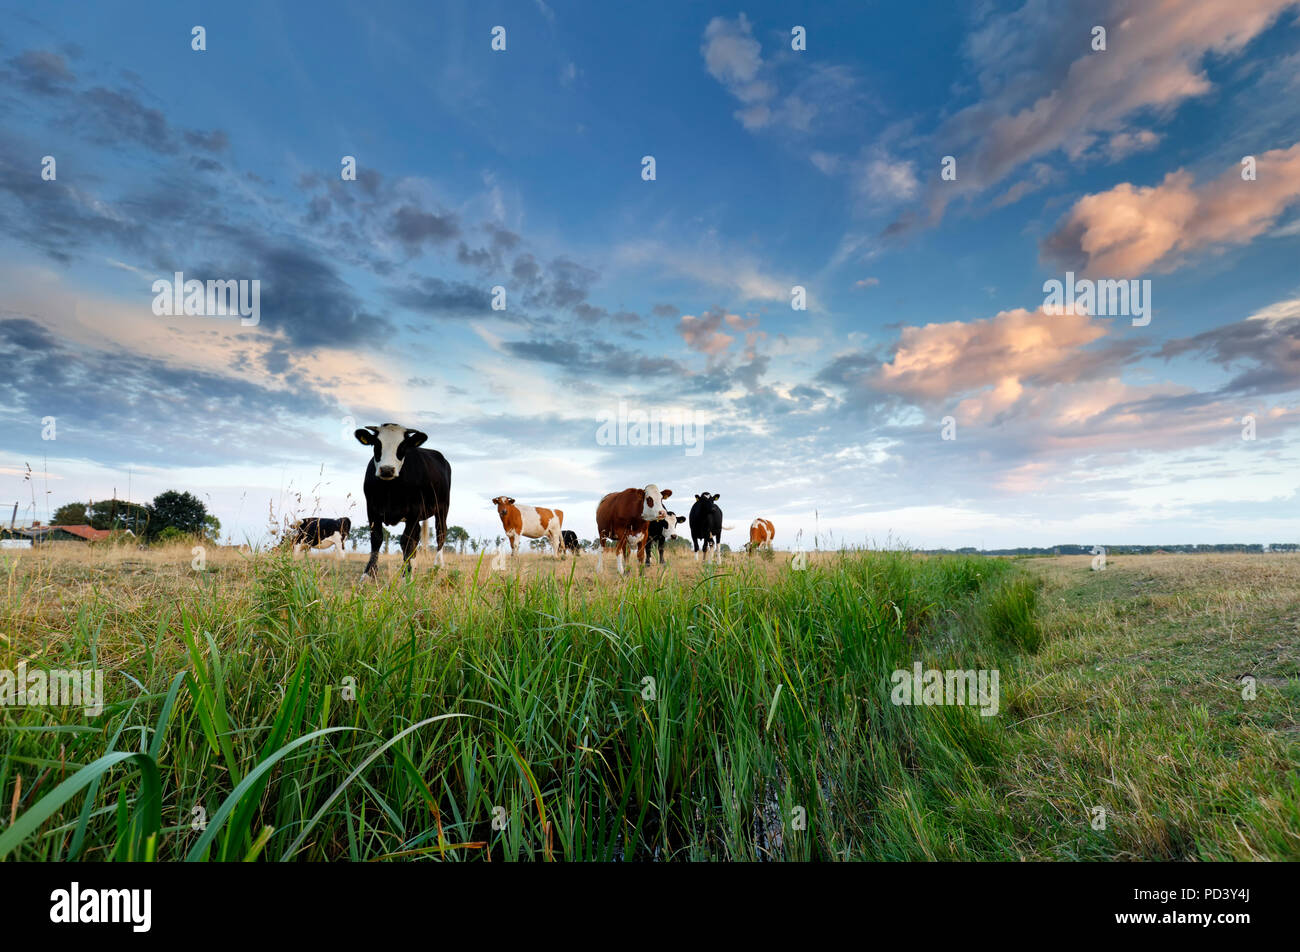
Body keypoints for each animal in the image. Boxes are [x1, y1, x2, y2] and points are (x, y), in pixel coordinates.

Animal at [354, 424, 451, 581]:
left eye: (403, 446)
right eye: (376, 444)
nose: (387, 469)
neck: (390, 490)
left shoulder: (415, 510)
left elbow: (406, 541)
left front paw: (406, 575)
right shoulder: (372, 509)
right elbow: (376, 538)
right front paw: (368, 575)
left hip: (443, 507)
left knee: (440, 533)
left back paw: (438, 566)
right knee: (417, 535)